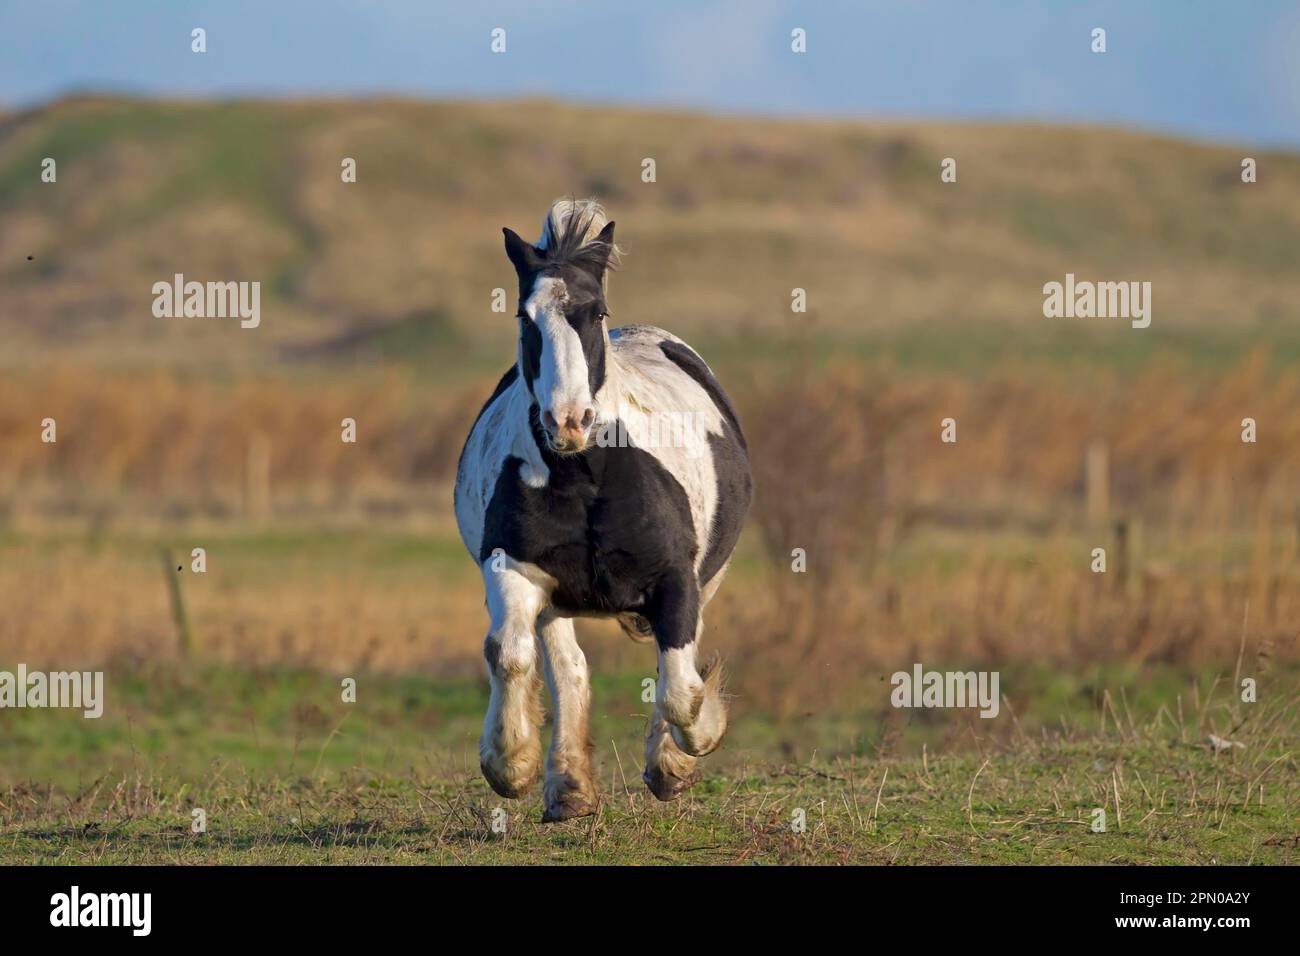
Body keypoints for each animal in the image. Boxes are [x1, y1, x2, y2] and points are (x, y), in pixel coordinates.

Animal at [454, 199, 752, 822]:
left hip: (705, 581)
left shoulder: (677, 581)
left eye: (595, 311)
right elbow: (509, 655)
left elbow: (683, 690)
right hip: (556, 602)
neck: (586, 476)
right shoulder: (513, 567)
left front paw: (682, 758)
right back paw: (569, 788)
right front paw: (510, 765)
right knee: (568, 668)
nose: (568, 420)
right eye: (525, 317)